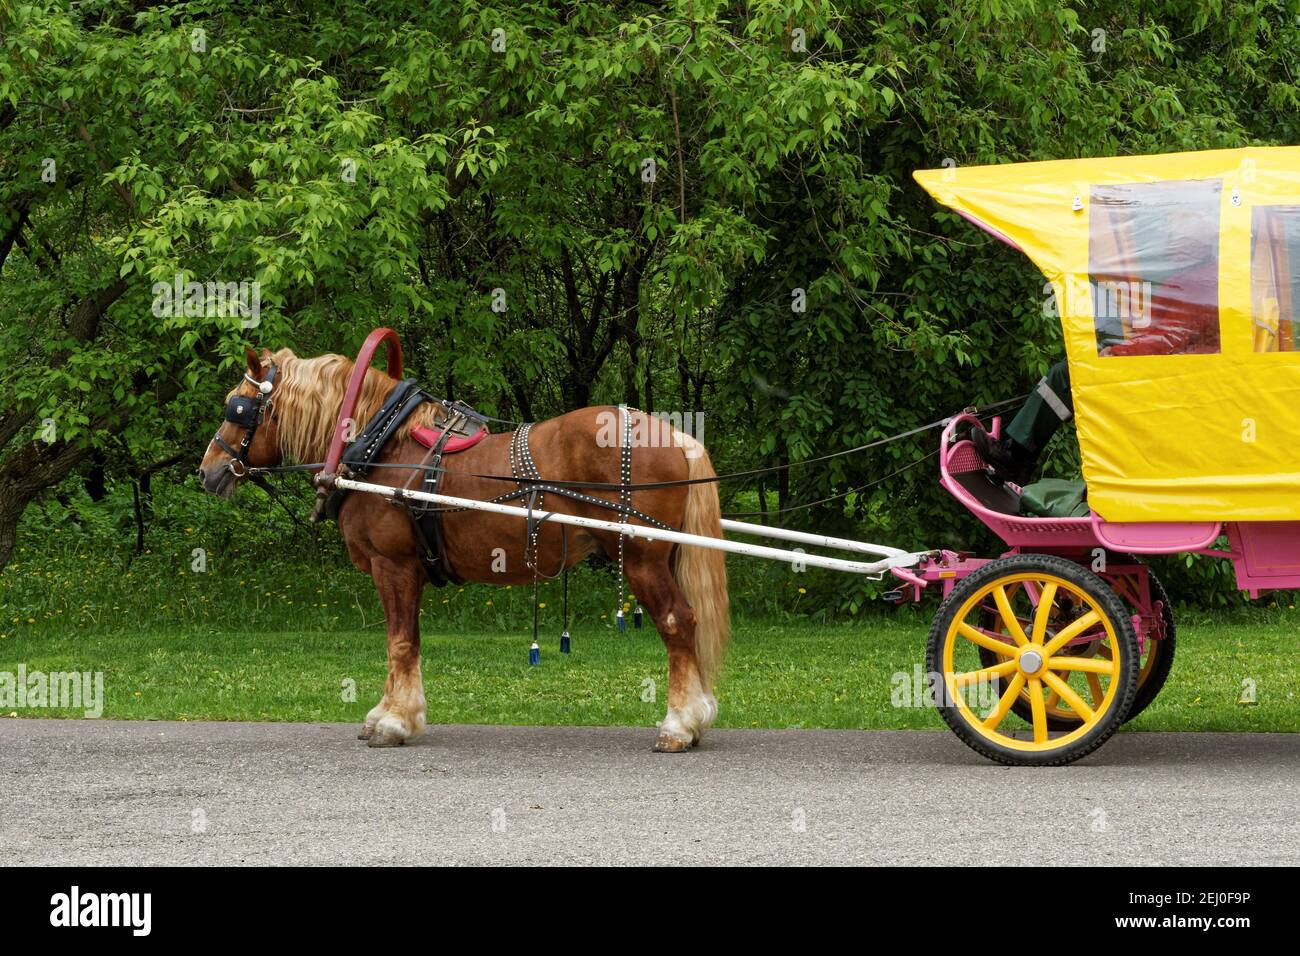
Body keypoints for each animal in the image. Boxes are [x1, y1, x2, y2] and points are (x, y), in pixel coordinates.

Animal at [199, 347, 730, 751]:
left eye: (237, 408)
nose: (207, 471)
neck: (379, 446)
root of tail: (674, 434)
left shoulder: (393, 564)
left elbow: (399, 641)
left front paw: (394, 722)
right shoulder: (407, 569)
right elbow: (404, 639)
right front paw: (388, 713)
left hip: (642, 556)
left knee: (678, 623)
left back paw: (680, 725)